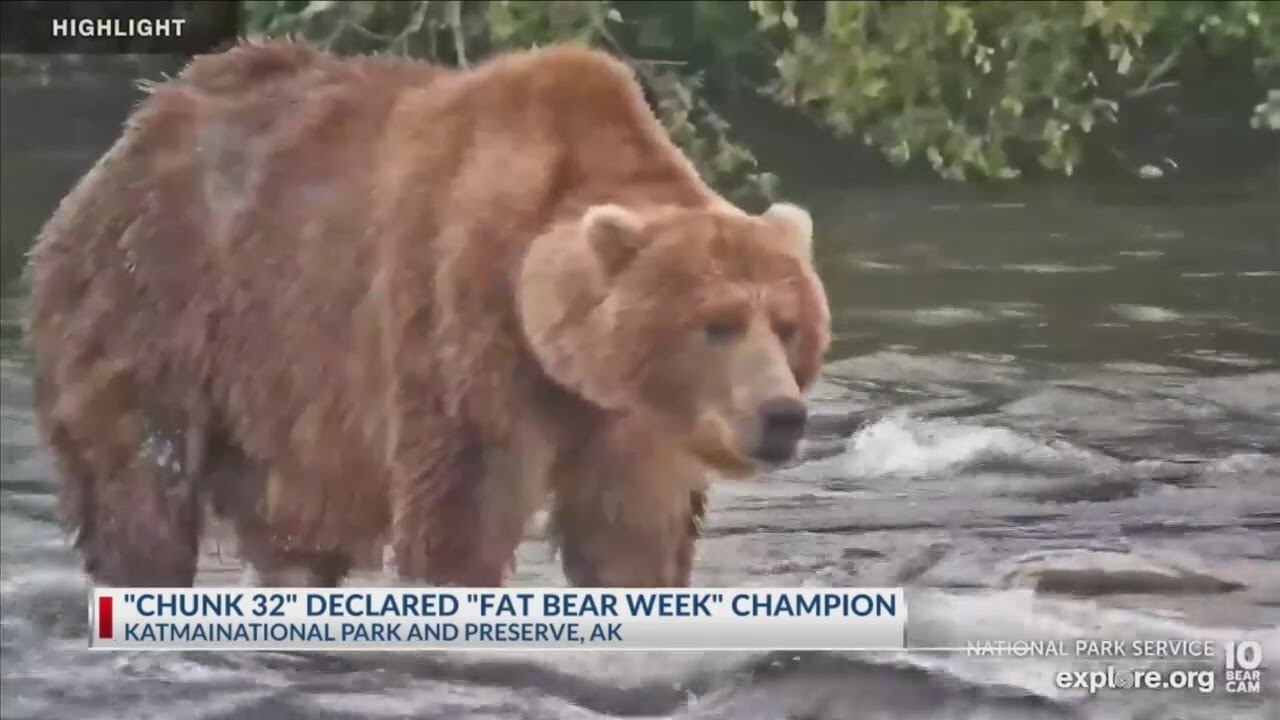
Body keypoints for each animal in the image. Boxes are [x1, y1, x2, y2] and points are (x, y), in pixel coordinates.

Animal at [24, 38, 831, 589]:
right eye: (716, 324)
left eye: (788, 326)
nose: (782, 415)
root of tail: (134, 128)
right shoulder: (458, 318)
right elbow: (461, 502)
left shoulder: (628, 422)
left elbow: (632, 530)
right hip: (155, 303)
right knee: (140, 479)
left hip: (281, 403)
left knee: (293, 527)